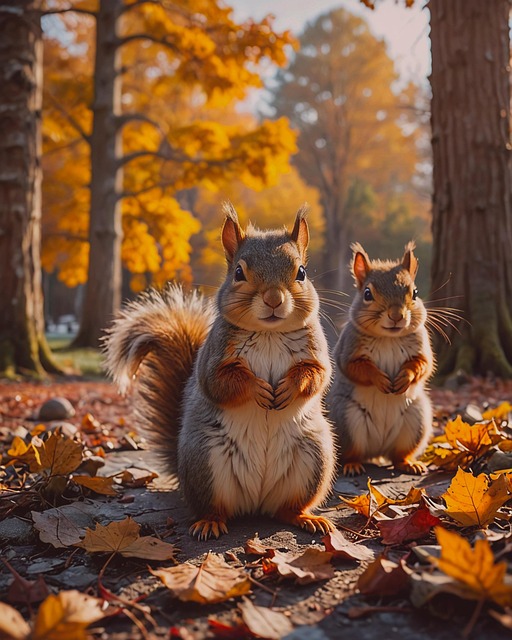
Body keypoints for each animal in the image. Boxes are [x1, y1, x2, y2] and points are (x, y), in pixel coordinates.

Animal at [104, 204, 336, 540]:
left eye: (301, 272)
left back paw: (306, 518)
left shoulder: (317, 351)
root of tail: (256, 503)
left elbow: (317, 375)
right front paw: (257, 389)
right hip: (206, 463)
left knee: (287, 509)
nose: (274, 299)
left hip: (314, 458)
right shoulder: (213, 357)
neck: (269, 334)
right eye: (238, 273)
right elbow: (219, 382)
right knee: (214, 507)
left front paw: (289, 387)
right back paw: (210, 522)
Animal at [327, 242, 434, 477]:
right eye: (367, 294)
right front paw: (380, 380)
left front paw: (405, 377)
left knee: (398, 455)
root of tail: (377, 450)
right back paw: (352, 465)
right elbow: (356, 367)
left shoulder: (422, 347)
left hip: (416, 420)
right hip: (347, 421)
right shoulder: (347, 349)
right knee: (352, 452)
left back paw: (409, 463)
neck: (389, 338)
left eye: (415, 293)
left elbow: (423, 365)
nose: (396, 316)